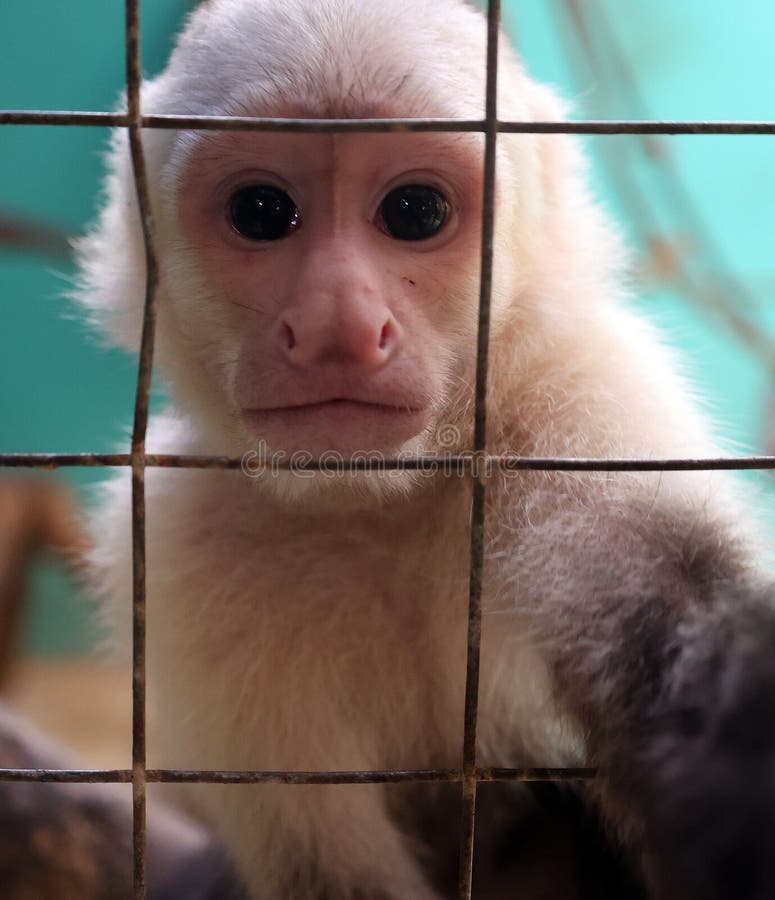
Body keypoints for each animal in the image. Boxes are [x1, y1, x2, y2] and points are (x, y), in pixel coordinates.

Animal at [73, 0, 775, 898]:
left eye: (413, 212)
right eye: (261, 212)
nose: (336, 324)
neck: (378, 498)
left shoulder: (580, 402)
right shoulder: (180, 541)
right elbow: (324, 868)